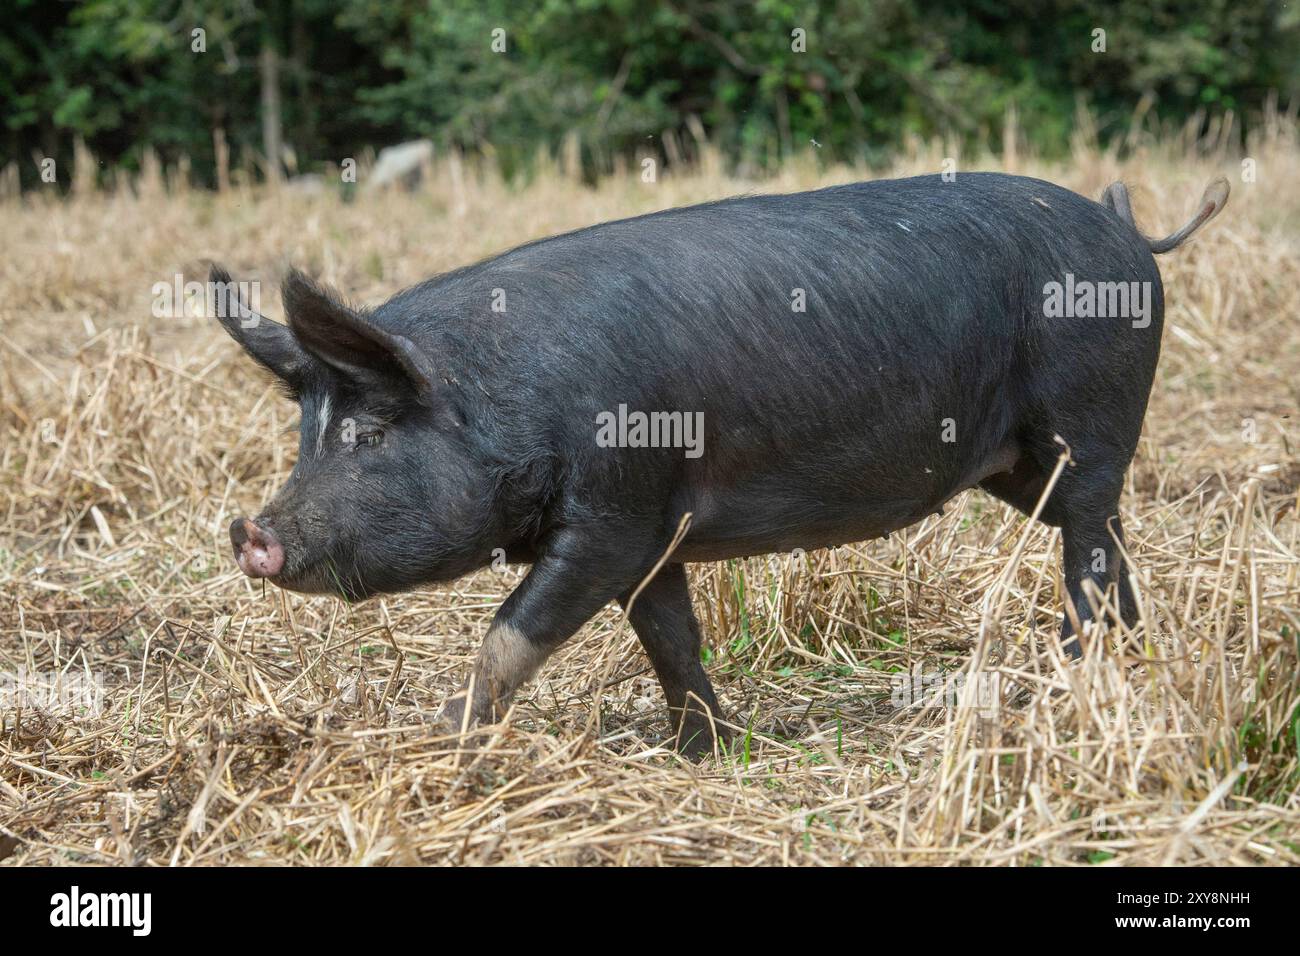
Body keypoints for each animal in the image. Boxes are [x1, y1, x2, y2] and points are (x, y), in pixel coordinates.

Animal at [214, 171, 1228, 756]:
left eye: (371, 435)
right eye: (306, 437)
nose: (251, 533)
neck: (505, 399)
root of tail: (1126, 232)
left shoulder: (613, 520)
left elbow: (510, 635)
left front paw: (449, 750)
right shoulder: (654, 530)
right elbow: (671, 639)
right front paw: (708, 750)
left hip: (1089, 419)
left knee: (1088, 543)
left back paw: (1069, 679)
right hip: (1023, 465)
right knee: (1107, 536)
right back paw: (1134, 659)